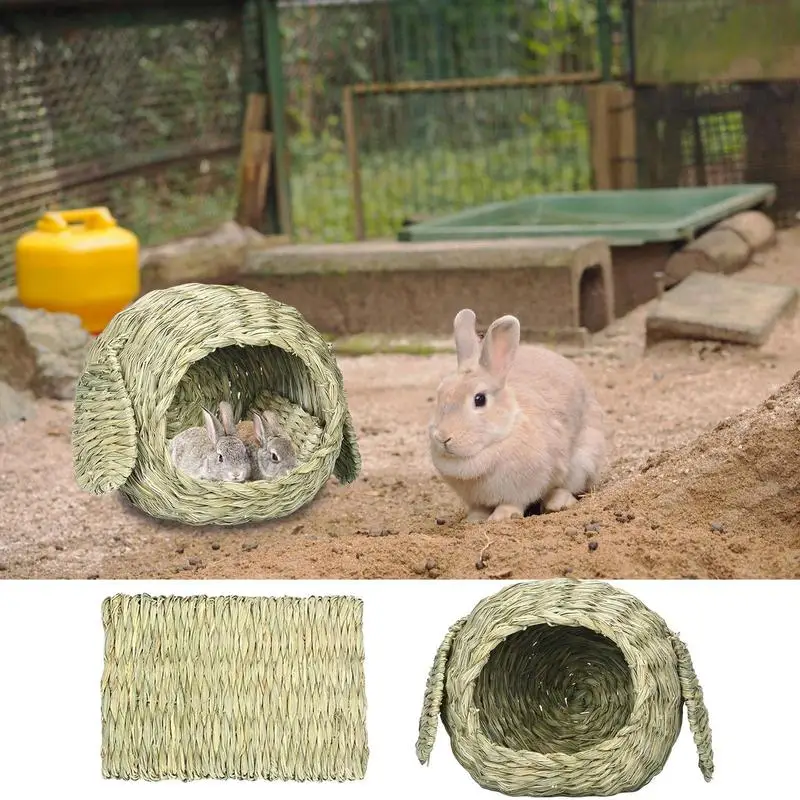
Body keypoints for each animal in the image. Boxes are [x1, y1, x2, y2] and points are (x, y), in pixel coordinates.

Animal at [428, 308, 606, 523]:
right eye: (440, 393)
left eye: (479, 399)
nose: (443, 437)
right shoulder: (476, 499)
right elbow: (479, 508)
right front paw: (474, 520)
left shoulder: (525, 486)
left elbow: (513, 502)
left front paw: (502, 517)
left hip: (583, 462)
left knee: (567, 486)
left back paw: (557, 503)